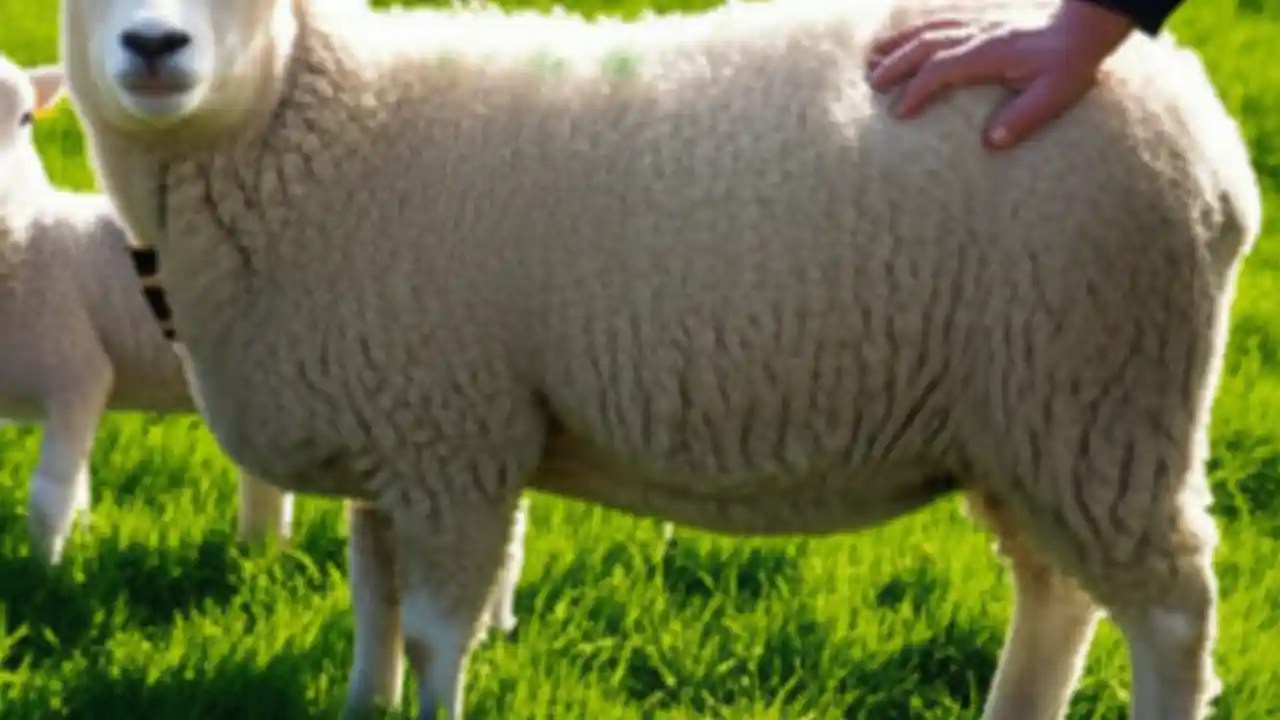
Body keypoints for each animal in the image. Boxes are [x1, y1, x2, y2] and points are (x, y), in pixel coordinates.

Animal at [58, 0, 1262, 717]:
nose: (155, 46)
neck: (317, 121)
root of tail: (1199, 122)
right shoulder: (390, 438)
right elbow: (373, 609)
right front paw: (364, 704)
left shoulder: (456, 439)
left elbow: (436, 636)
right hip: (1025, 417)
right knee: (1056, 595)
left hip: (1098, 390)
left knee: (1168, 613)